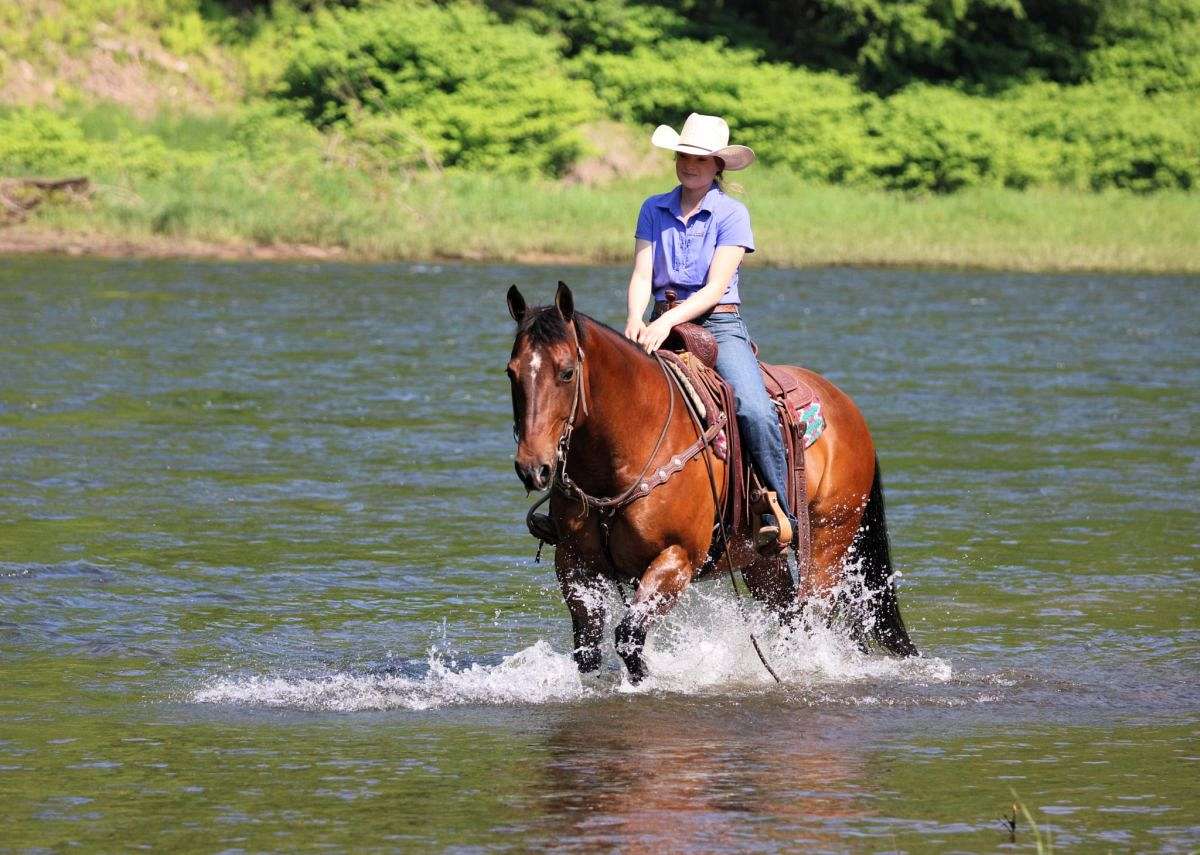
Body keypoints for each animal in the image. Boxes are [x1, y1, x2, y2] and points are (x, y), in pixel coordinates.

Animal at [506, 282, 917, 684]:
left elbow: (629, 636)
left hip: (828, 543)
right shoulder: (573, 562)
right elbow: (588, 649)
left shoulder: (677, 559)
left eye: (566, 372)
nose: (533, 467)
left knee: (811, 616)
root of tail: (848, 408)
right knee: (789, 614)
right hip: (761, 559)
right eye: (511, 373)